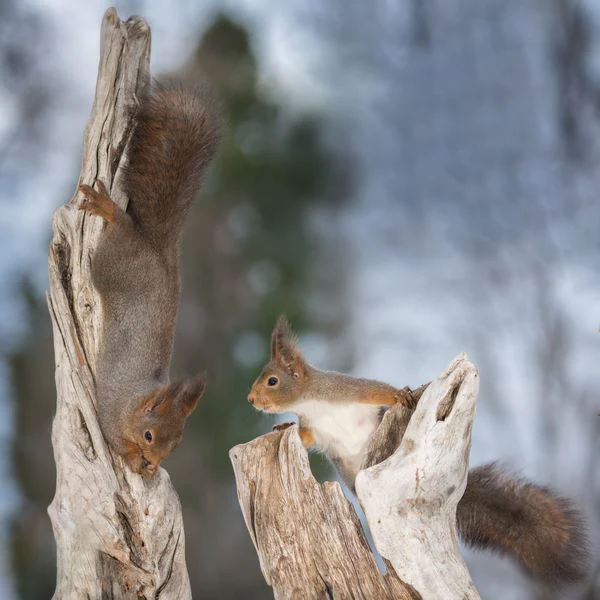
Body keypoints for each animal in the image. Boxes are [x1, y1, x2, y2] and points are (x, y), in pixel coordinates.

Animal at [78, 83, 219, 478]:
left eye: (177, 444)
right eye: (149, 435)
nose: (154, 465)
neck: (135, 402)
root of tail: (155, 245)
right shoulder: (110, 421)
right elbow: (117, 444)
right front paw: (133, 460)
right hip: (110, 264)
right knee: (122, 227)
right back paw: (109, 210)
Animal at [248, 316, 592, 584]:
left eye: (273, 381)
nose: (251, 400)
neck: (312, 401)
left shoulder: (348, 390)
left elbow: (378, 390)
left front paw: (400, 395)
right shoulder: (313, 427)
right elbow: (303, 437)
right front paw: (283, 426)